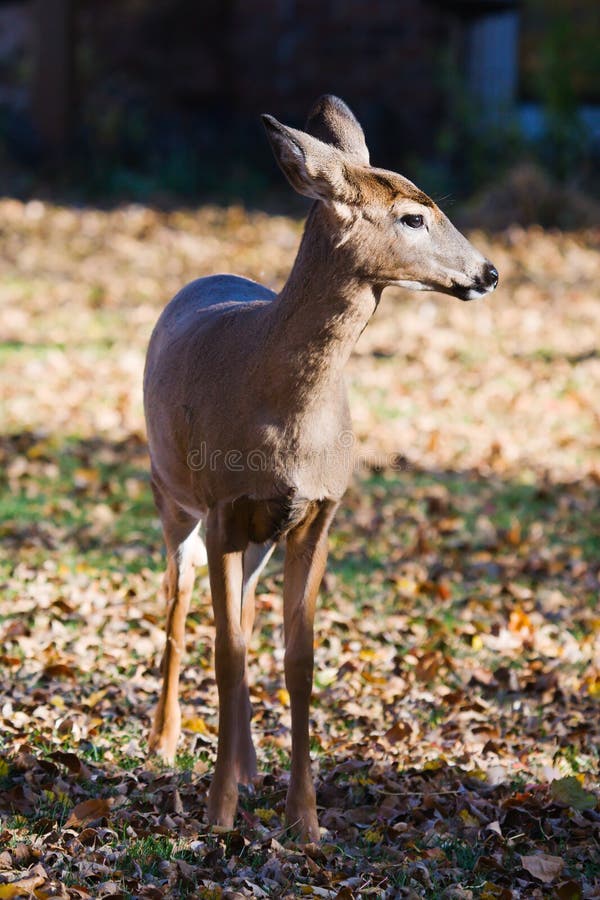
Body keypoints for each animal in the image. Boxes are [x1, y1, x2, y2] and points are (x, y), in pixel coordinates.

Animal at [143, 95, 498, 842]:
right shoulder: (222, 506)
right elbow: (225, 651)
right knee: (180, 596)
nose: (488, 272)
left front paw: (304, 819)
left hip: (258, 532)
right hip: (171, 493)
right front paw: (218, 813)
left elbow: (296, 659)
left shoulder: (320, 511)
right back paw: (164, 739)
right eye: (412, 216)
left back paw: (249, 765)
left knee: (245, 610)